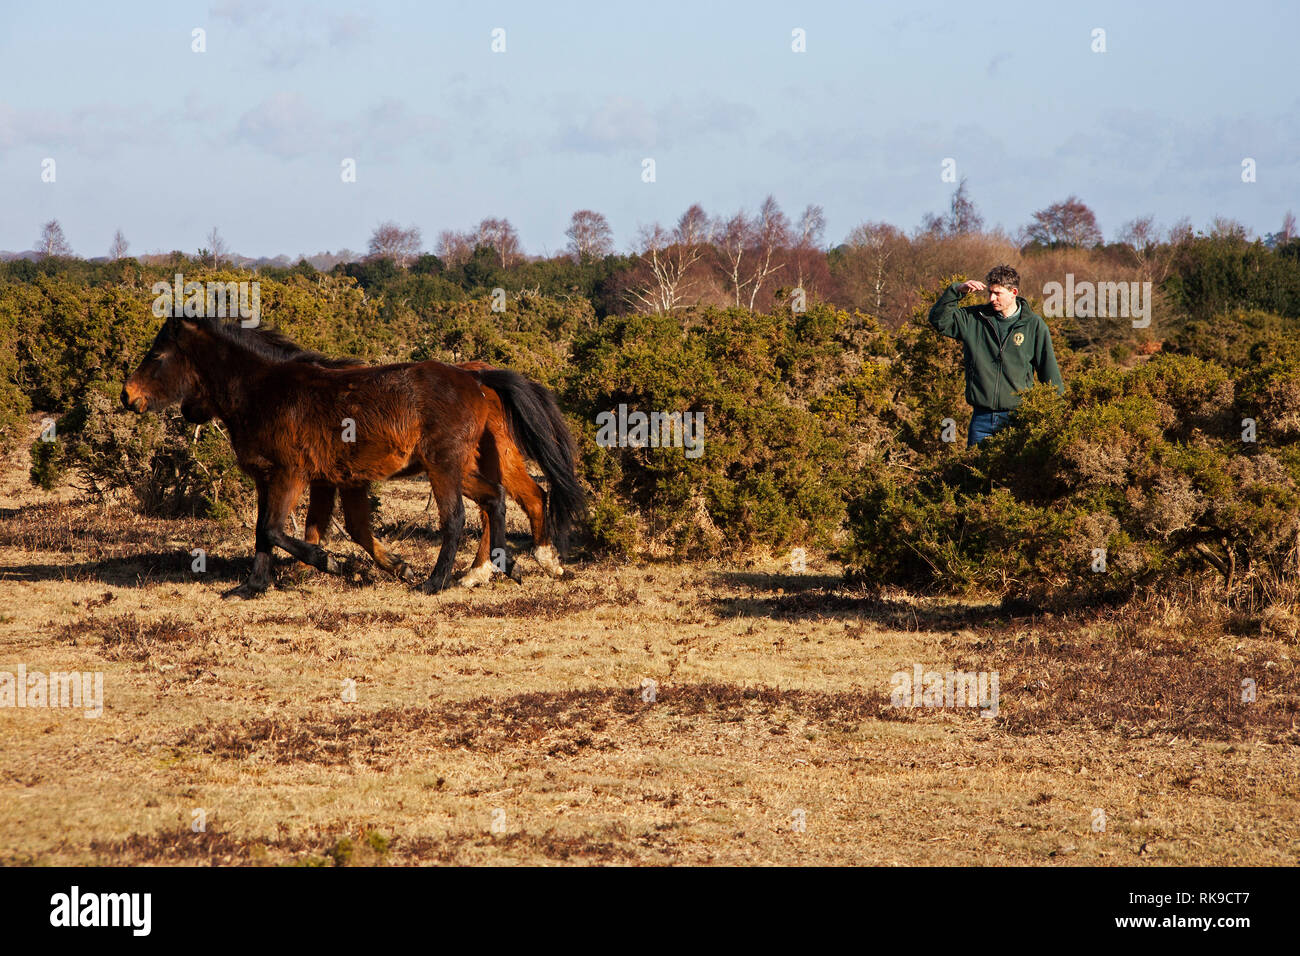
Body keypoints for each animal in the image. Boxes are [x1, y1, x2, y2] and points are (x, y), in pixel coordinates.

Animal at [122, 316, 574, 597]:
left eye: (157, 356)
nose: (128, 397)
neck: (264, 390)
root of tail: (476, 379)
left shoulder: (291, 474)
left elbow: (275, 530)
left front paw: (337, 565)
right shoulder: (289, 479)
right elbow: (272, 532)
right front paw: (252, 587)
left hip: (444, 466)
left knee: (459, 516)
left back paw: (437, 581)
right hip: (458, 466)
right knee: (496, 498)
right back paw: (498, 567)